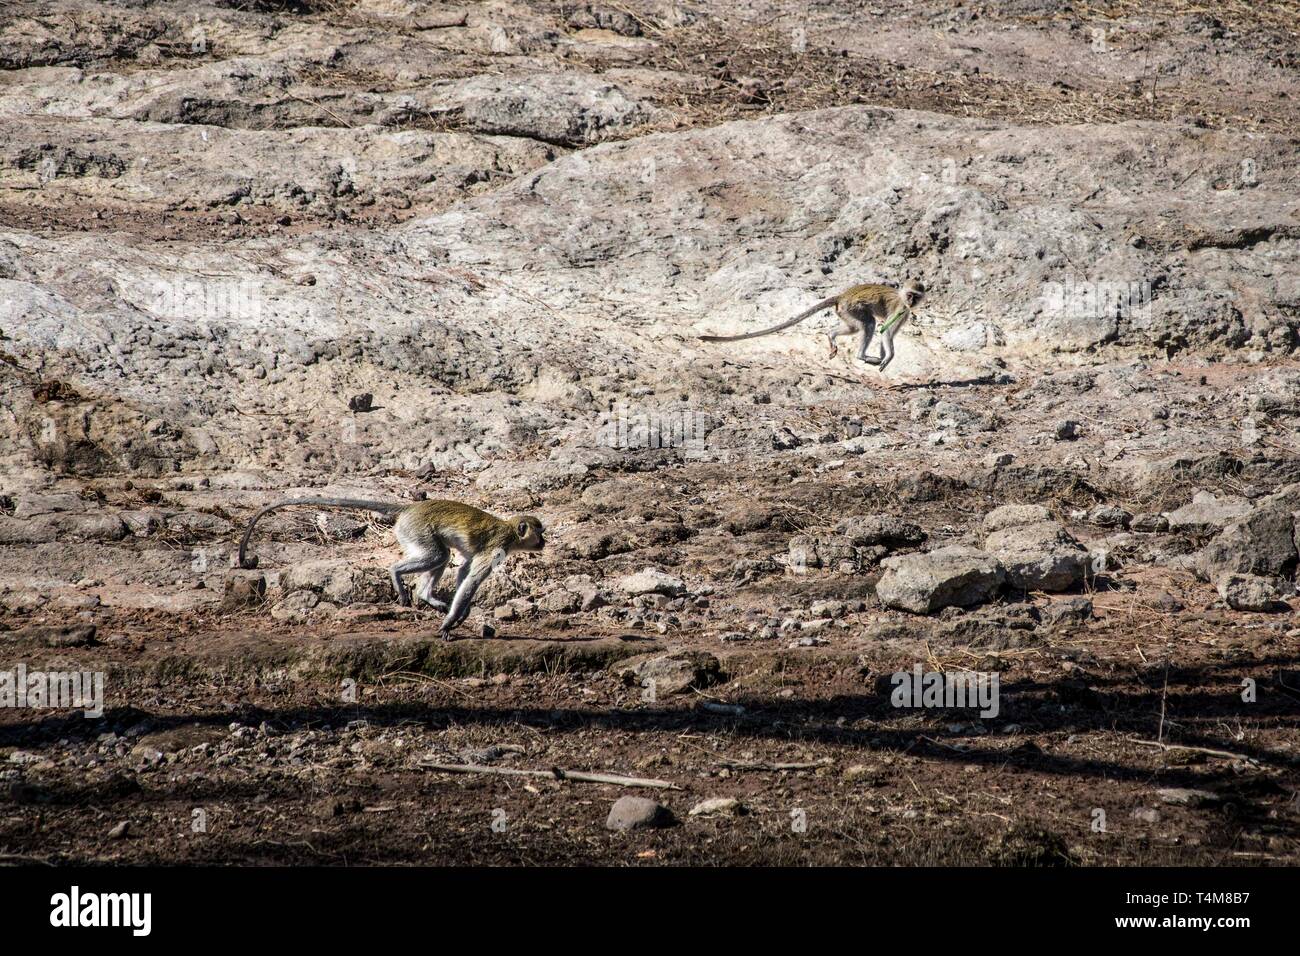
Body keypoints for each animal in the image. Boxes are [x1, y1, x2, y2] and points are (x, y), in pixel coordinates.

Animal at [236, 497, 545, 637]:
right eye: (539, 533)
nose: (544, 541)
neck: (510, 531)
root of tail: (410, 509)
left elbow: (463, 571)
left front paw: (459, 616)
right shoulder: (497, 547)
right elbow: (471, 580)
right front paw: (451, 621)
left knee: (442, 557)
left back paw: (424, 596)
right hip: (416, 529)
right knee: (437, 555)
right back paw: (396, 574)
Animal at [699, 279, 926, 372]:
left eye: (916, 296)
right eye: (910, 295)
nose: (912, 301)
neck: (902, 299)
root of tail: (841, 296)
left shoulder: (905, 313)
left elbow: (887, 334)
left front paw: (883, 358)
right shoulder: (899, 308)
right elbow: (884, 331)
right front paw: (888, 357)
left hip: (845, 312)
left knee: (856, 327)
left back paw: (831, 336)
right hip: (852, 308)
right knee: (868, 324)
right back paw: (861, 356)